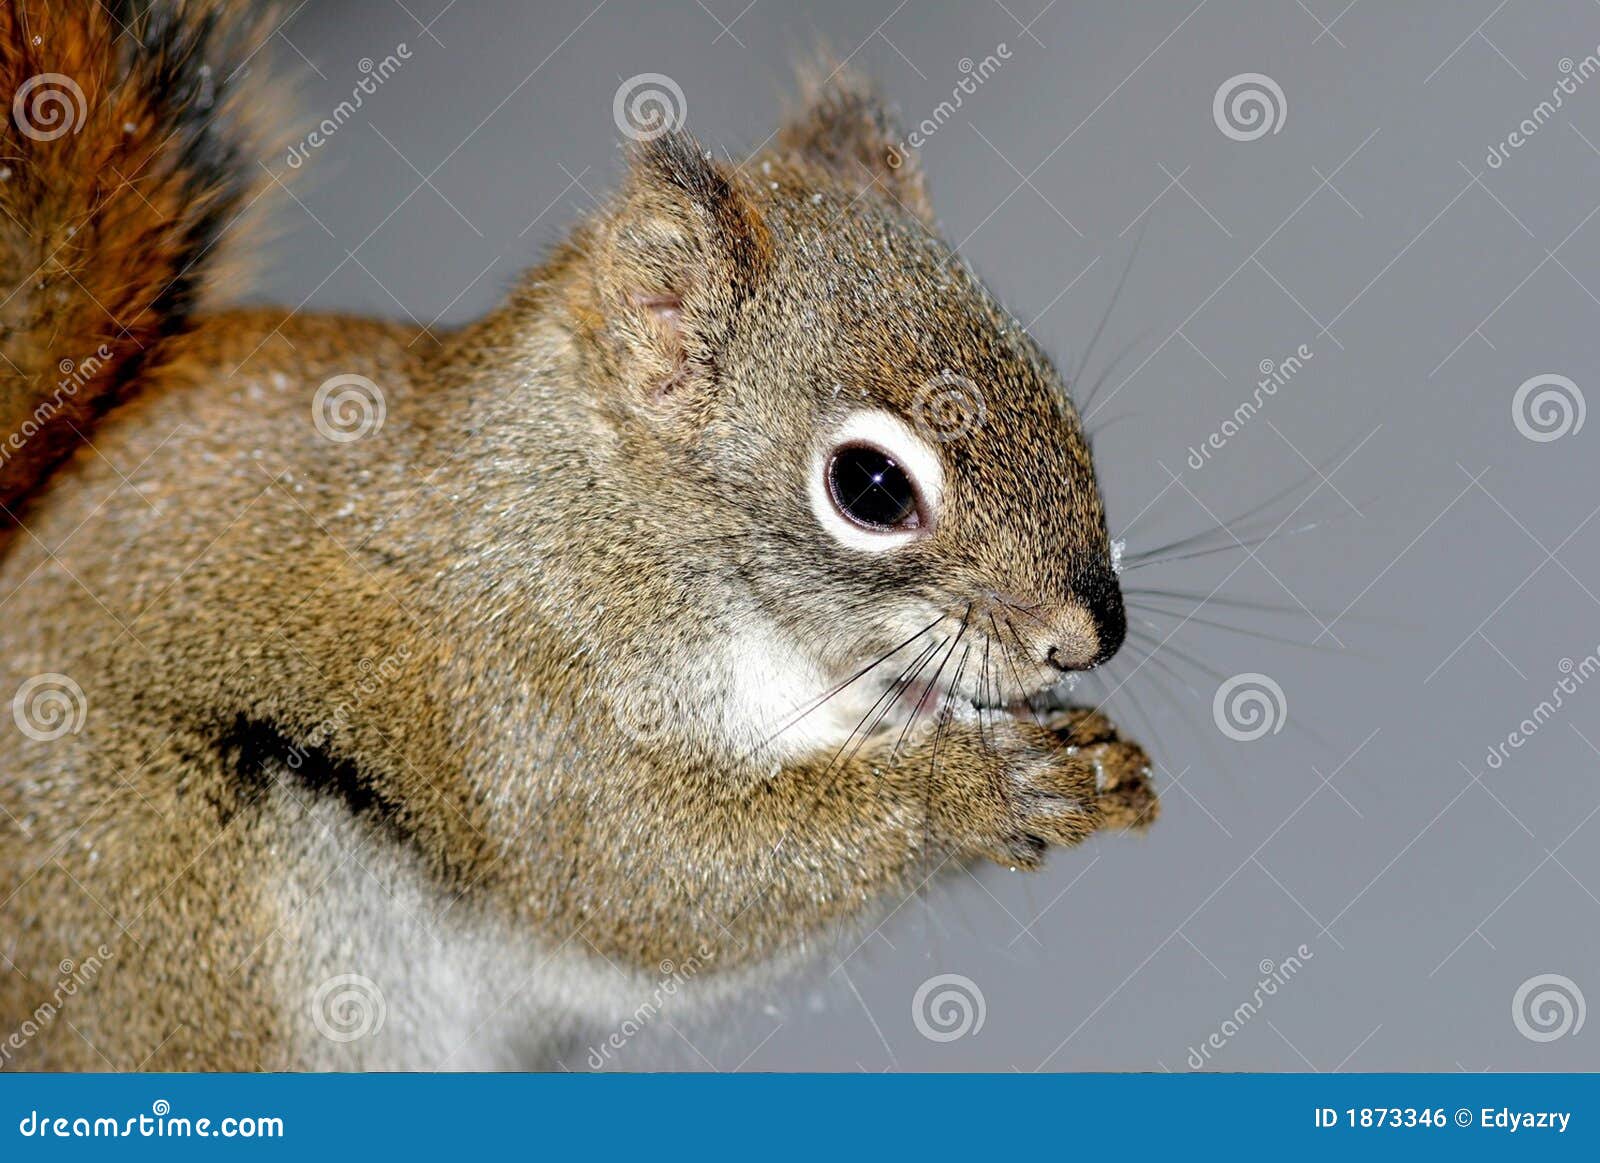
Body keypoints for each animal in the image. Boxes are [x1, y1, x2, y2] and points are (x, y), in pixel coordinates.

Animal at [0, 1, 1158, 1070]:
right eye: (868, 486)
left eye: (1046, 379)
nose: (1086, 637)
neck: (617, 509)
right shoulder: (523, 679)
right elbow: (643, 863)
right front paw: (977, 788)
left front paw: (1098, 760)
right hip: (190, 916)